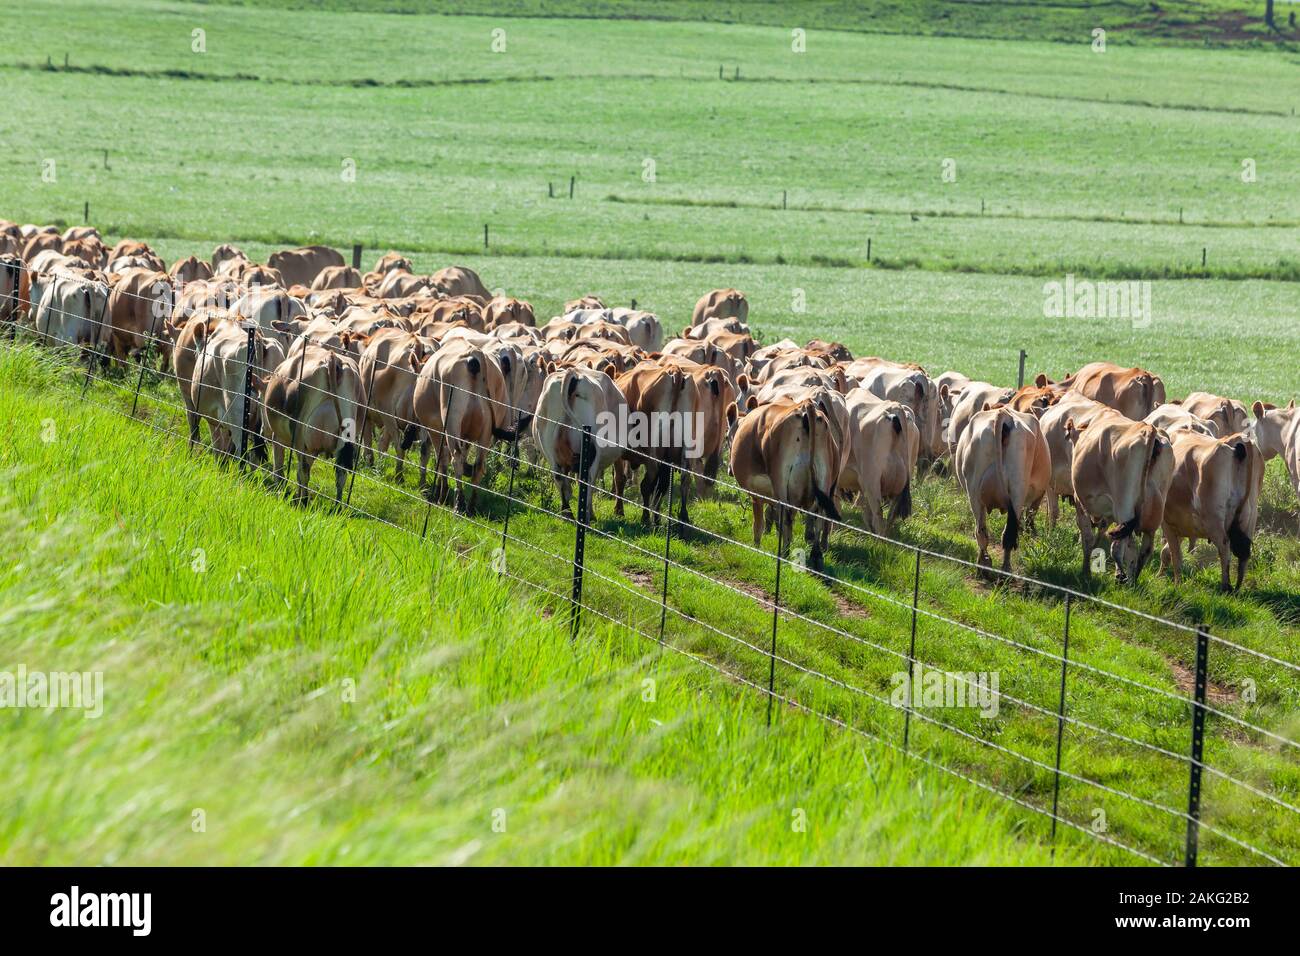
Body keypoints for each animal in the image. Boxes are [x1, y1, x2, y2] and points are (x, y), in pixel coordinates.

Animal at [259, 342, 361, 504]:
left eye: (259, 399)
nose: (263, 431)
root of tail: (333, 358)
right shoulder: (313, 449)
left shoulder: (279, 438)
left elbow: (279, 467)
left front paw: (280, 490)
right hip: (345, 439)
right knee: (341, 474)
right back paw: (337, 506)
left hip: (300, 435)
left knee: (303, 471)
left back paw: (303, 500)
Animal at [953, 406, 1050, 573]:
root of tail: (1003, 414)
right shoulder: (1037, 496)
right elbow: (1030, 516)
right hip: (1017, 489)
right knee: (1008, 534)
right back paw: (1005, 568)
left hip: (974, 491)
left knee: (981, 531)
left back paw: (984, 565)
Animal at [1067, 411, 1174, 585]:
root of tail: (1148, 430)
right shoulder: (1111, 513)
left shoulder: (1080, 501)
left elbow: (1088, 538)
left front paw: (1086, 572)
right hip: (1153, 514)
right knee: (1142, 550)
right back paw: (1132, 581)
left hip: (1124, 507)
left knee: (1121, 548)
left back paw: (1123, 578)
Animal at [1159, 431, 1263, 591]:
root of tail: (1241, 441)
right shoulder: (1184, 523)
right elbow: (1167, 552)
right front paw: (1160, 577)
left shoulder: (1168, 523)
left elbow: (1175, 555)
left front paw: (1177, 585)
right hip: (1250, 519)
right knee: (1244, 556)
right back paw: (1237, 587)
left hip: (1213, 521)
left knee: (1224, 546)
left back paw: (1225, 586)